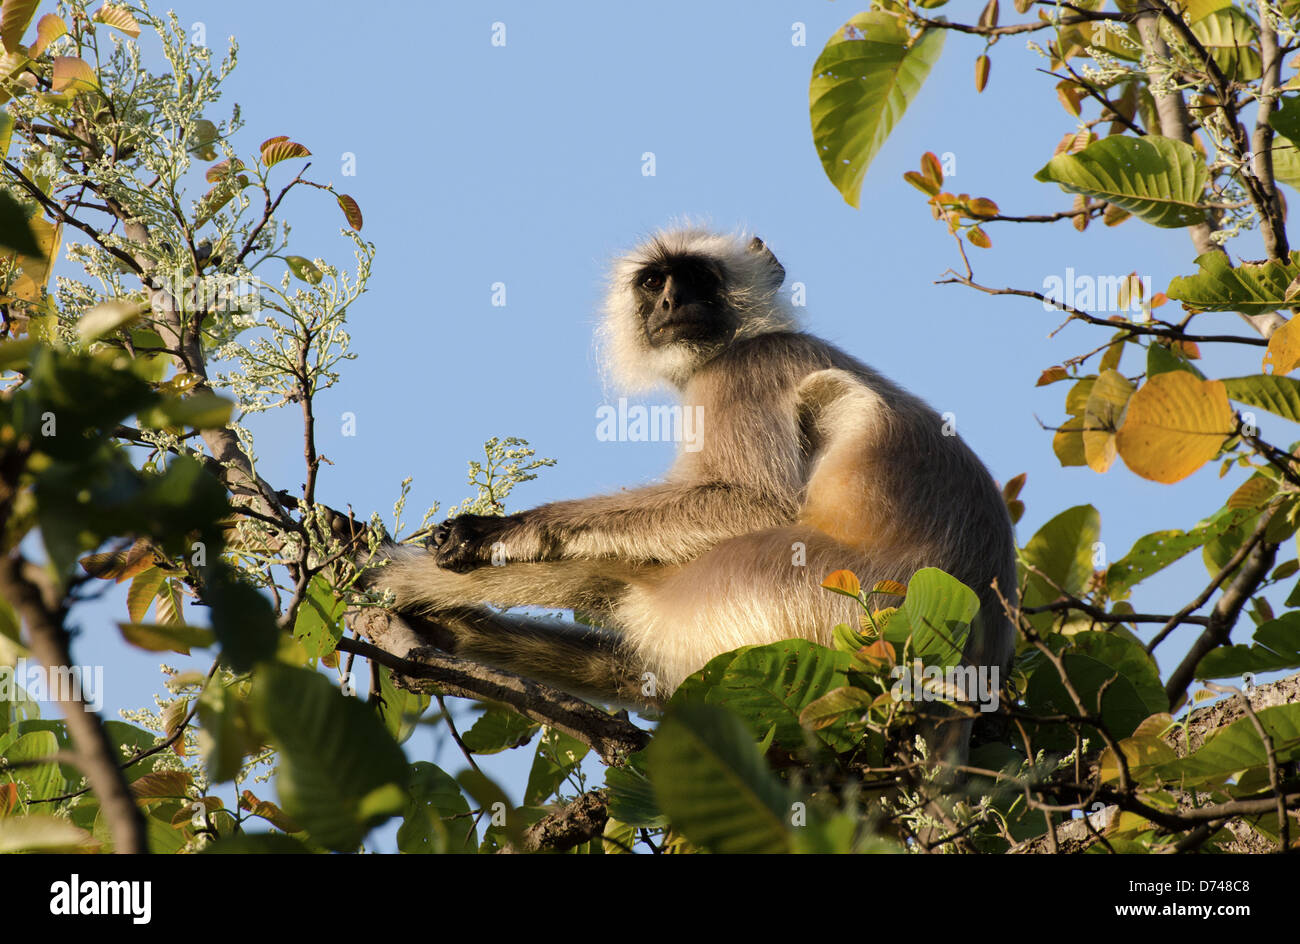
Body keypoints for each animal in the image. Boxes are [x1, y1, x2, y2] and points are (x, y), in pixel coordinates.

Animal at [364, 226, 1017, 761]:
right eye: (654, 282)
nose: (674, 302)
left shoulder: (744, 370)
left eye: (698, 277)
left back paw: (388, 578)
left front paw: (498, 532)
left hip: (821, 601)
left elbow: (758, 502)